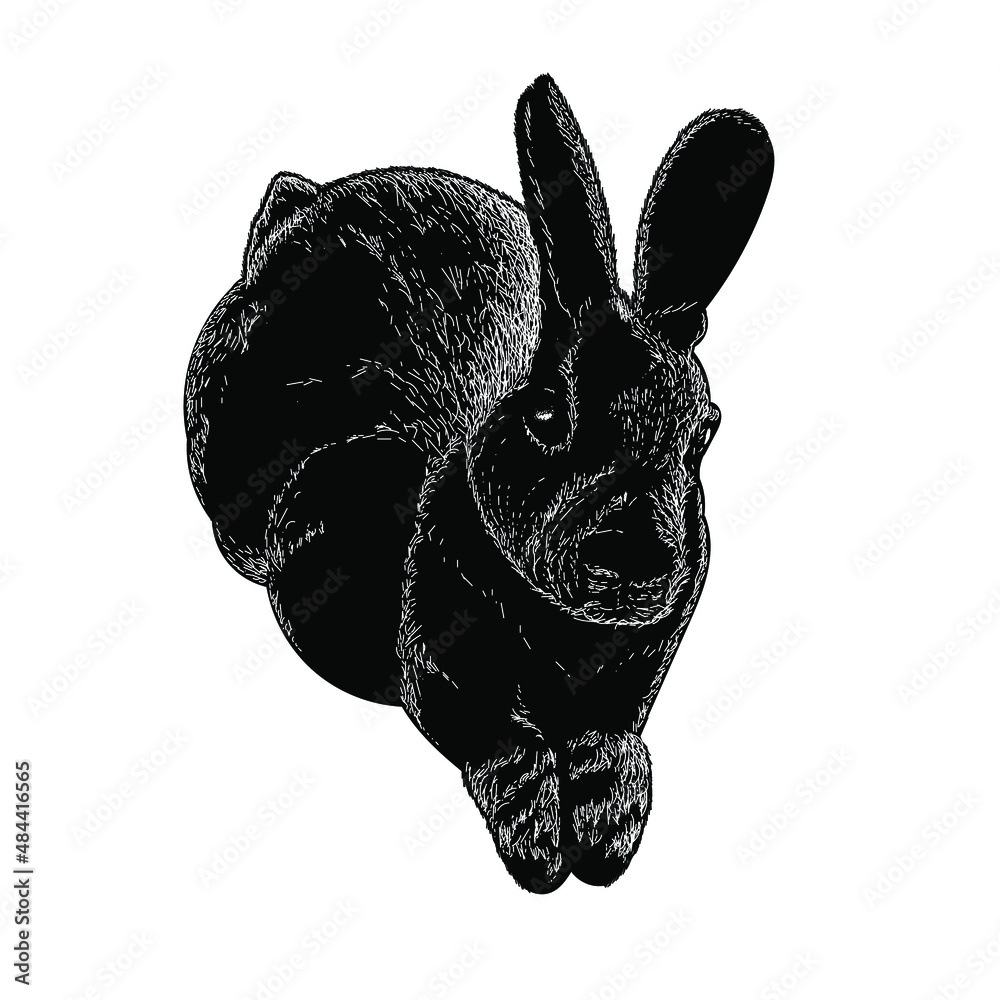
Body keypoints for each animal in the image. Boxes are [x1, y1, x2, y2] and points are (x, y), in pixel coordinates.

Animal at [185, 74, 773, 893]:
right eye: (547, 409)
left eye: (704, 429)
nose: (635, 556)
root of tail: (301, 200)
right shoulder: (437, 667)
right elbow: (495, 740)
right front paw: (539, 844)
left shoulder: (641, 667)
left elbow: (612, 731)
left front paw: (608, 822)